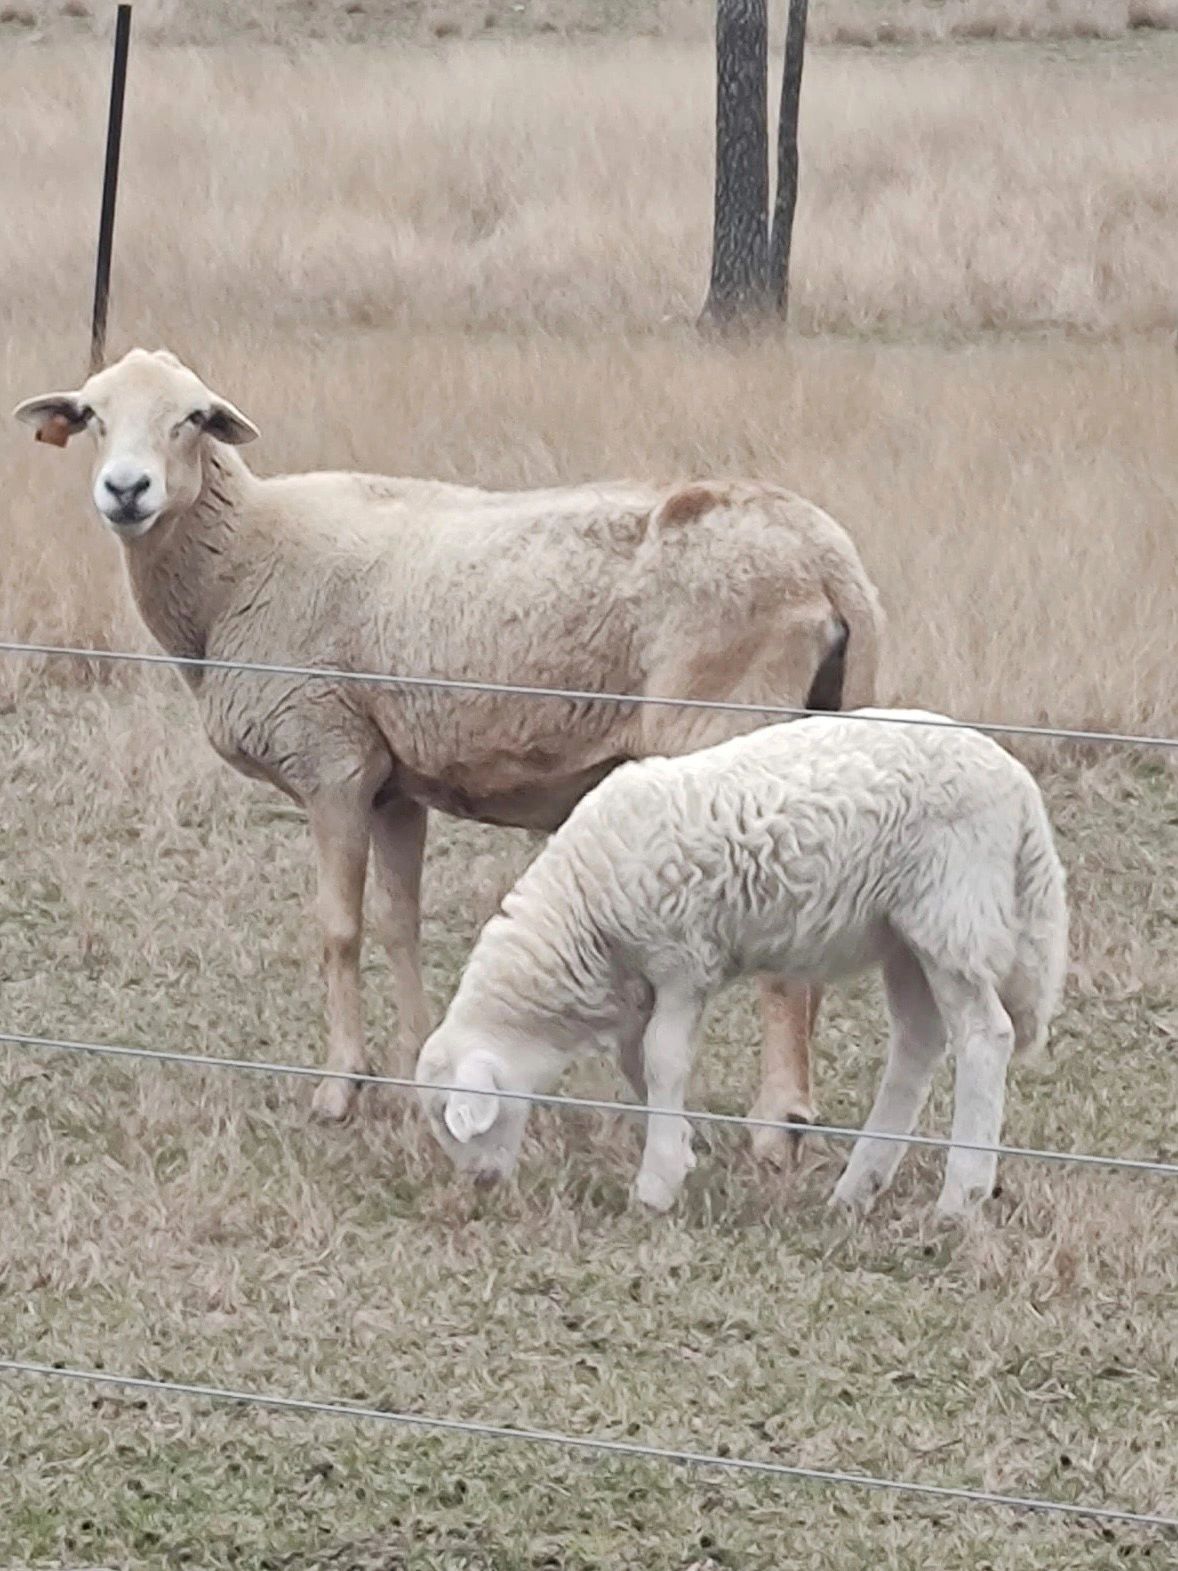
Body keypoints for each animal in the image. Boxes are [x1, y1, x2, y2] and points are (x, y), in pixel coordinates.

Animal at [14, 347, 882, 1153]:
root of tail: (832, 560)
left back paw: (776, 1123)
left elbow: (338, 926)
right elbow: (400, 922)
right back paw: (796, 1107)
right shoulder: (392, 781)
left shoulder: (331, 758)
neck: (240, 557)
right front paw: (412, 1069)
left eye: (192, 418)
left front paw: (341, 1085)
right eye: (91, 415)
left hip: (725, 725)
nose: (126, 490)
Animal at [415, 710, 1068, 1218]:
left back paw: (960, 1198)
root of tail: (1020, 789)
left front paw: (656, 1184)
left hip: (951, 914)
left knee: (985, 1036)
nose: (479, 1187)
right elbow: (636, 1063)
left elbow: (661, 1060)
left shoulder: (681, 960)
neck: (581, 912)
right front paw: (679, 1146)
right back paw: (858, 1187)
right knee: (918, 1042)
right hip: (904, 934)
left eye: (454, 1119)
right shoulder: (643, 982)